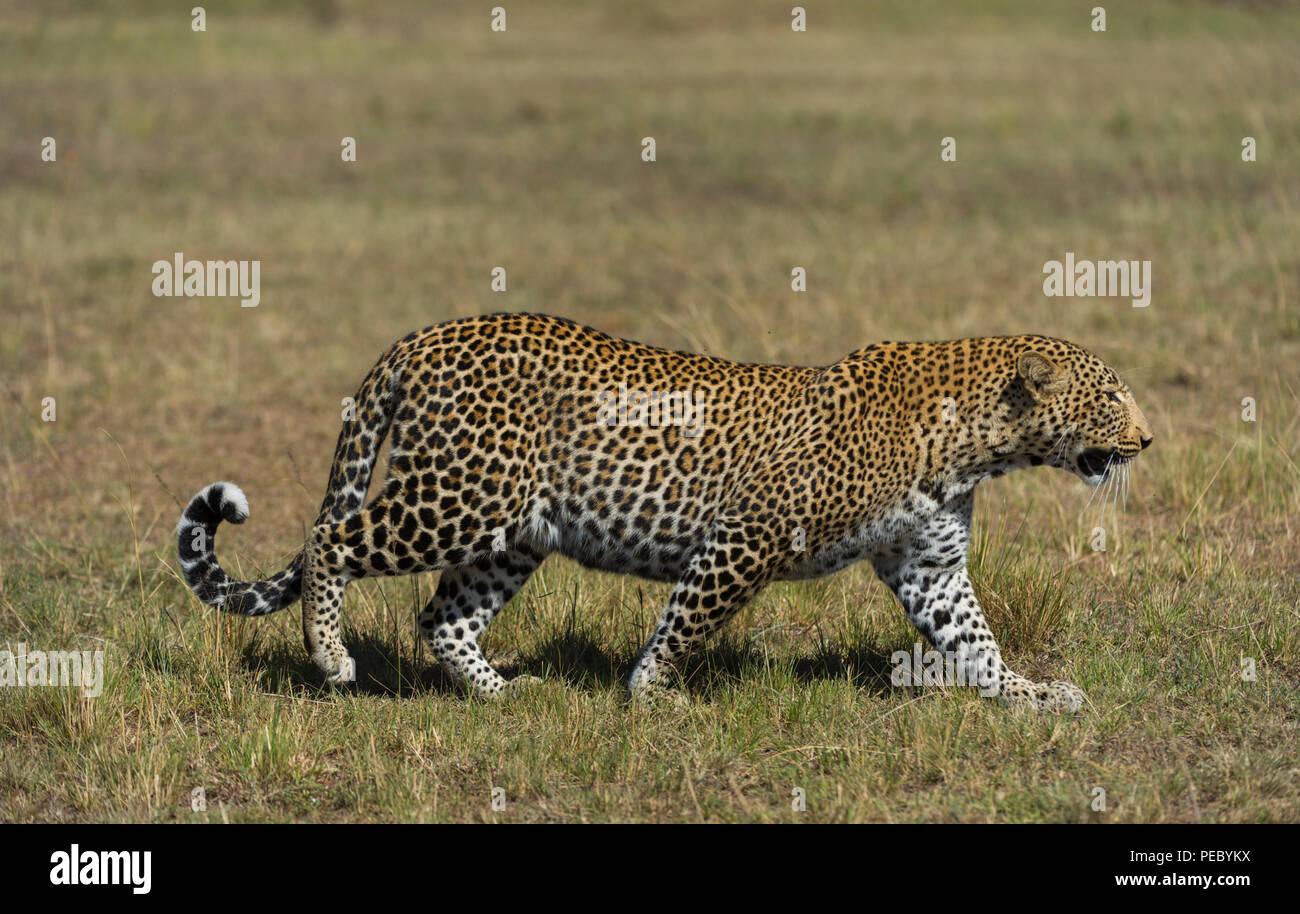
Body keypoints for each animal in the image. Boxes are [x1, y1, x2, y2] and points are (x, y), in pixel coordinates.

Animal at [177, 312, 1153, 711]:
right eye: (1111, 395)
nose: (1146, 440)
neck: (976, 439)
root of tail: (424, 335)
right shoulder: (748, 536)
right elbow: (686, 618)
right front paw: (650, 693)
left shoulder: (928, 566)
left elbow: (976, 642)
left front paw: (1029, 695)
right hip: (460, 494)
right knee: (330, 538)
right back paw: (331, 656)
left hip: (511, 530)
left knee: (442, 617)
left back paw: (504, 694)